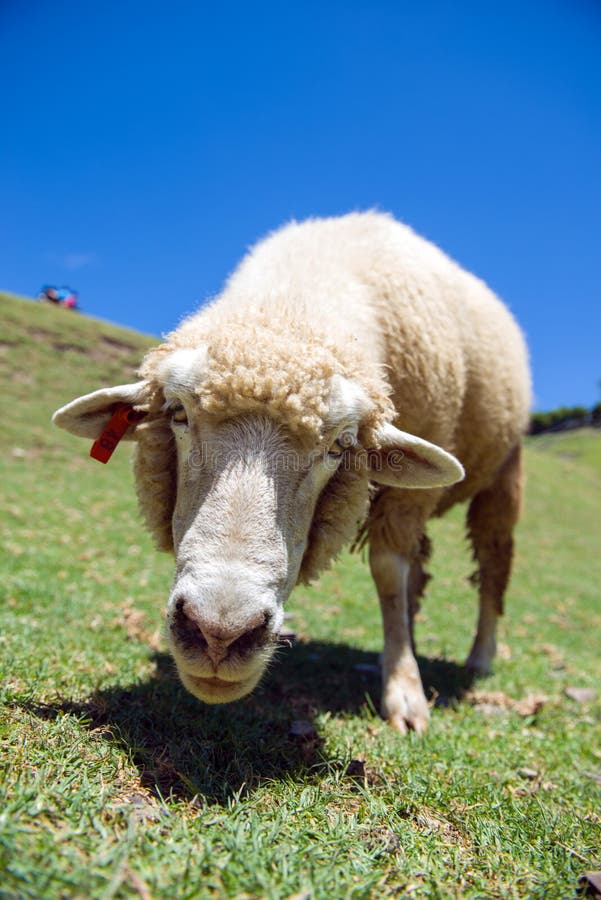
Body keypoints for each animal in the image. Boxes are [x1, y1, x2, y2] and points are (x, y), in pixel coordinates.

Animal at [52, 211, 531, 734]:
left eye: (340, 446)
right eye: (177, 414)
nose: (218, 634)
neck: (294, 300)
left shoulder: (409, 495)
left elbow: (389, 571)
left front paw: (404, 690)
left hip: (504, 474)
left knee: (492, 565)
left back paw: (479, 656)